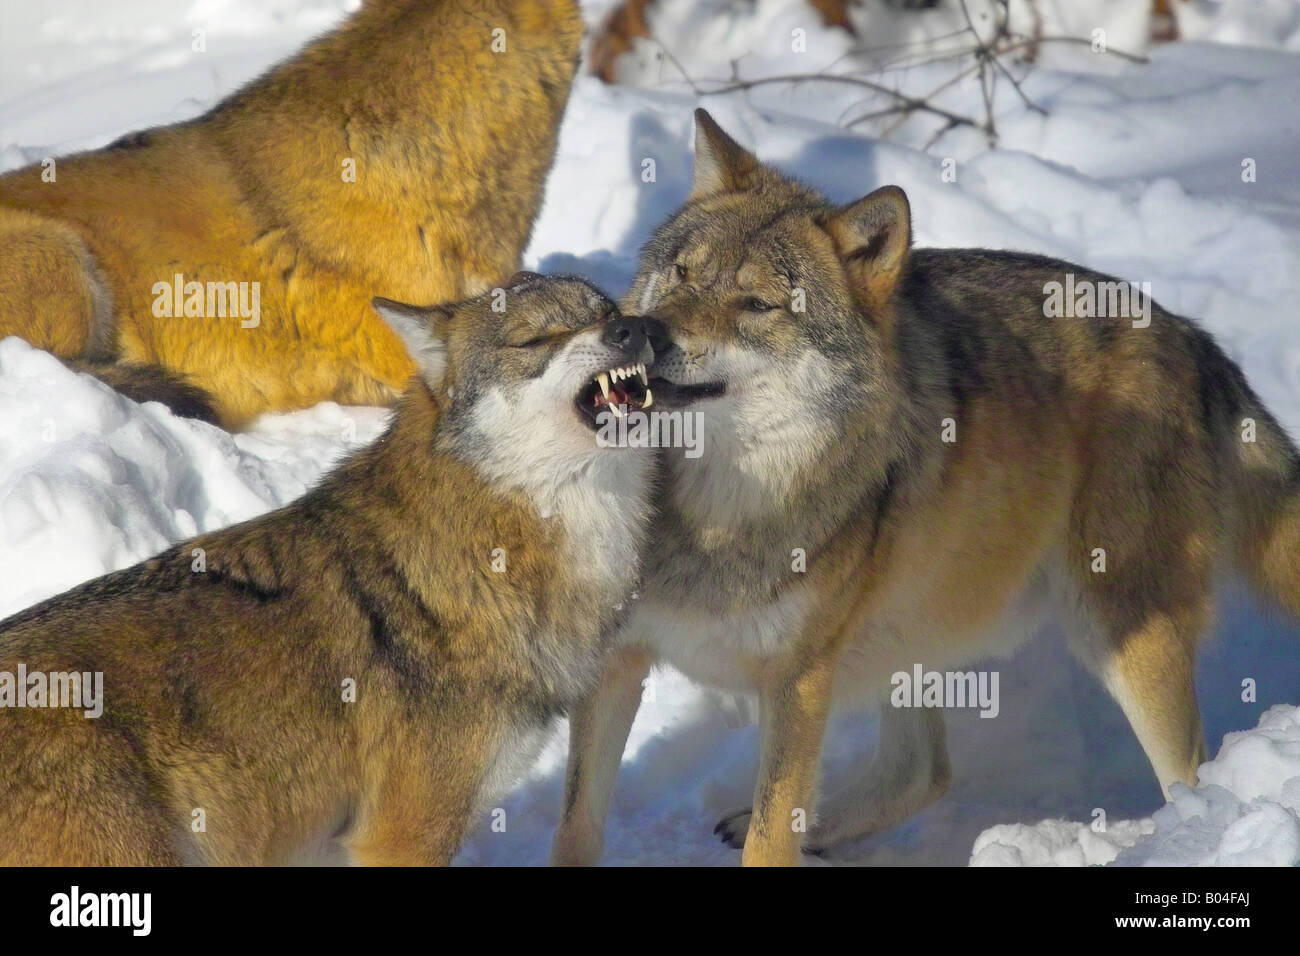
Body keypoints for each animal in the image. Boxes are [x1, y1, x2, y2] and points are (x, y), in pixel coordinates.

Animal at [551, 110, 1300, 866]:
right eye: (681, 272)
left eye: (757, 305)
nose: (645, 331)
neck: (711, 510)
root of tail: (1197, 341)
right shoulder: (617, 664)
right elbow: (576, 826)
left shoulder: (798, 681)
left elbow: (772, 835)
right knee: (923, 774)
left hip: (1119, 632)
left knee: (1191, 774)